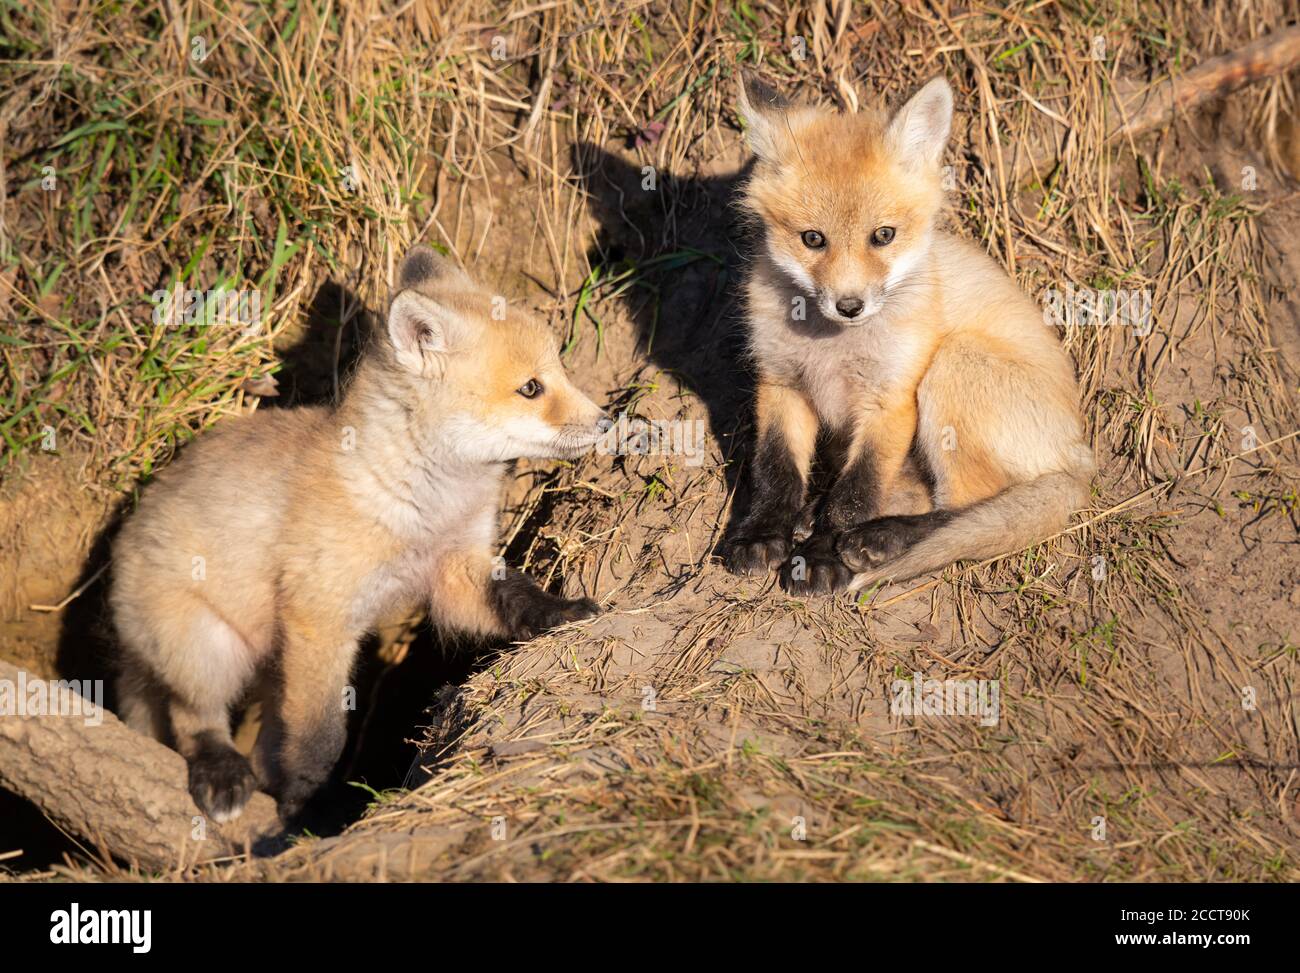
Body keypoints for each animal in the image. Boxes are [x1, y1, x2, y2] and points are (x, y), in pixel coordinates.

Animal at [110, 245, 607, 823]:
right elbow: (321, 737)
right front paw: (304, 808)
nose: (607, 421)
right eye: (531, 388)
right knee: (194, 716)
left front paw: (564, 611)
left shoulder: (457, 568)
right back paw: (222, 771)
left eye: (560, 372)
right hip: (206, 647)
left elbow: (518, 596)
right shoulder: (319, 618)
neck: (424, 508)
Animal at [723, 73, 1095, 595]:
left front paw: (822, 557)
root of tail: (1080, 454)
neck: (834, 348)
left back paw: (882, 537)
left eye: (883, 235)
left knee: (963, 507)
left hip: (953, 367)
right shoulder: (781, 382)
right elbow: (777, 471)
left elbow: (856, 496)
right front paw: (761, 535)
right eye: (813, 239)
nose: (850, 305)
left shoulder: (891, 400)